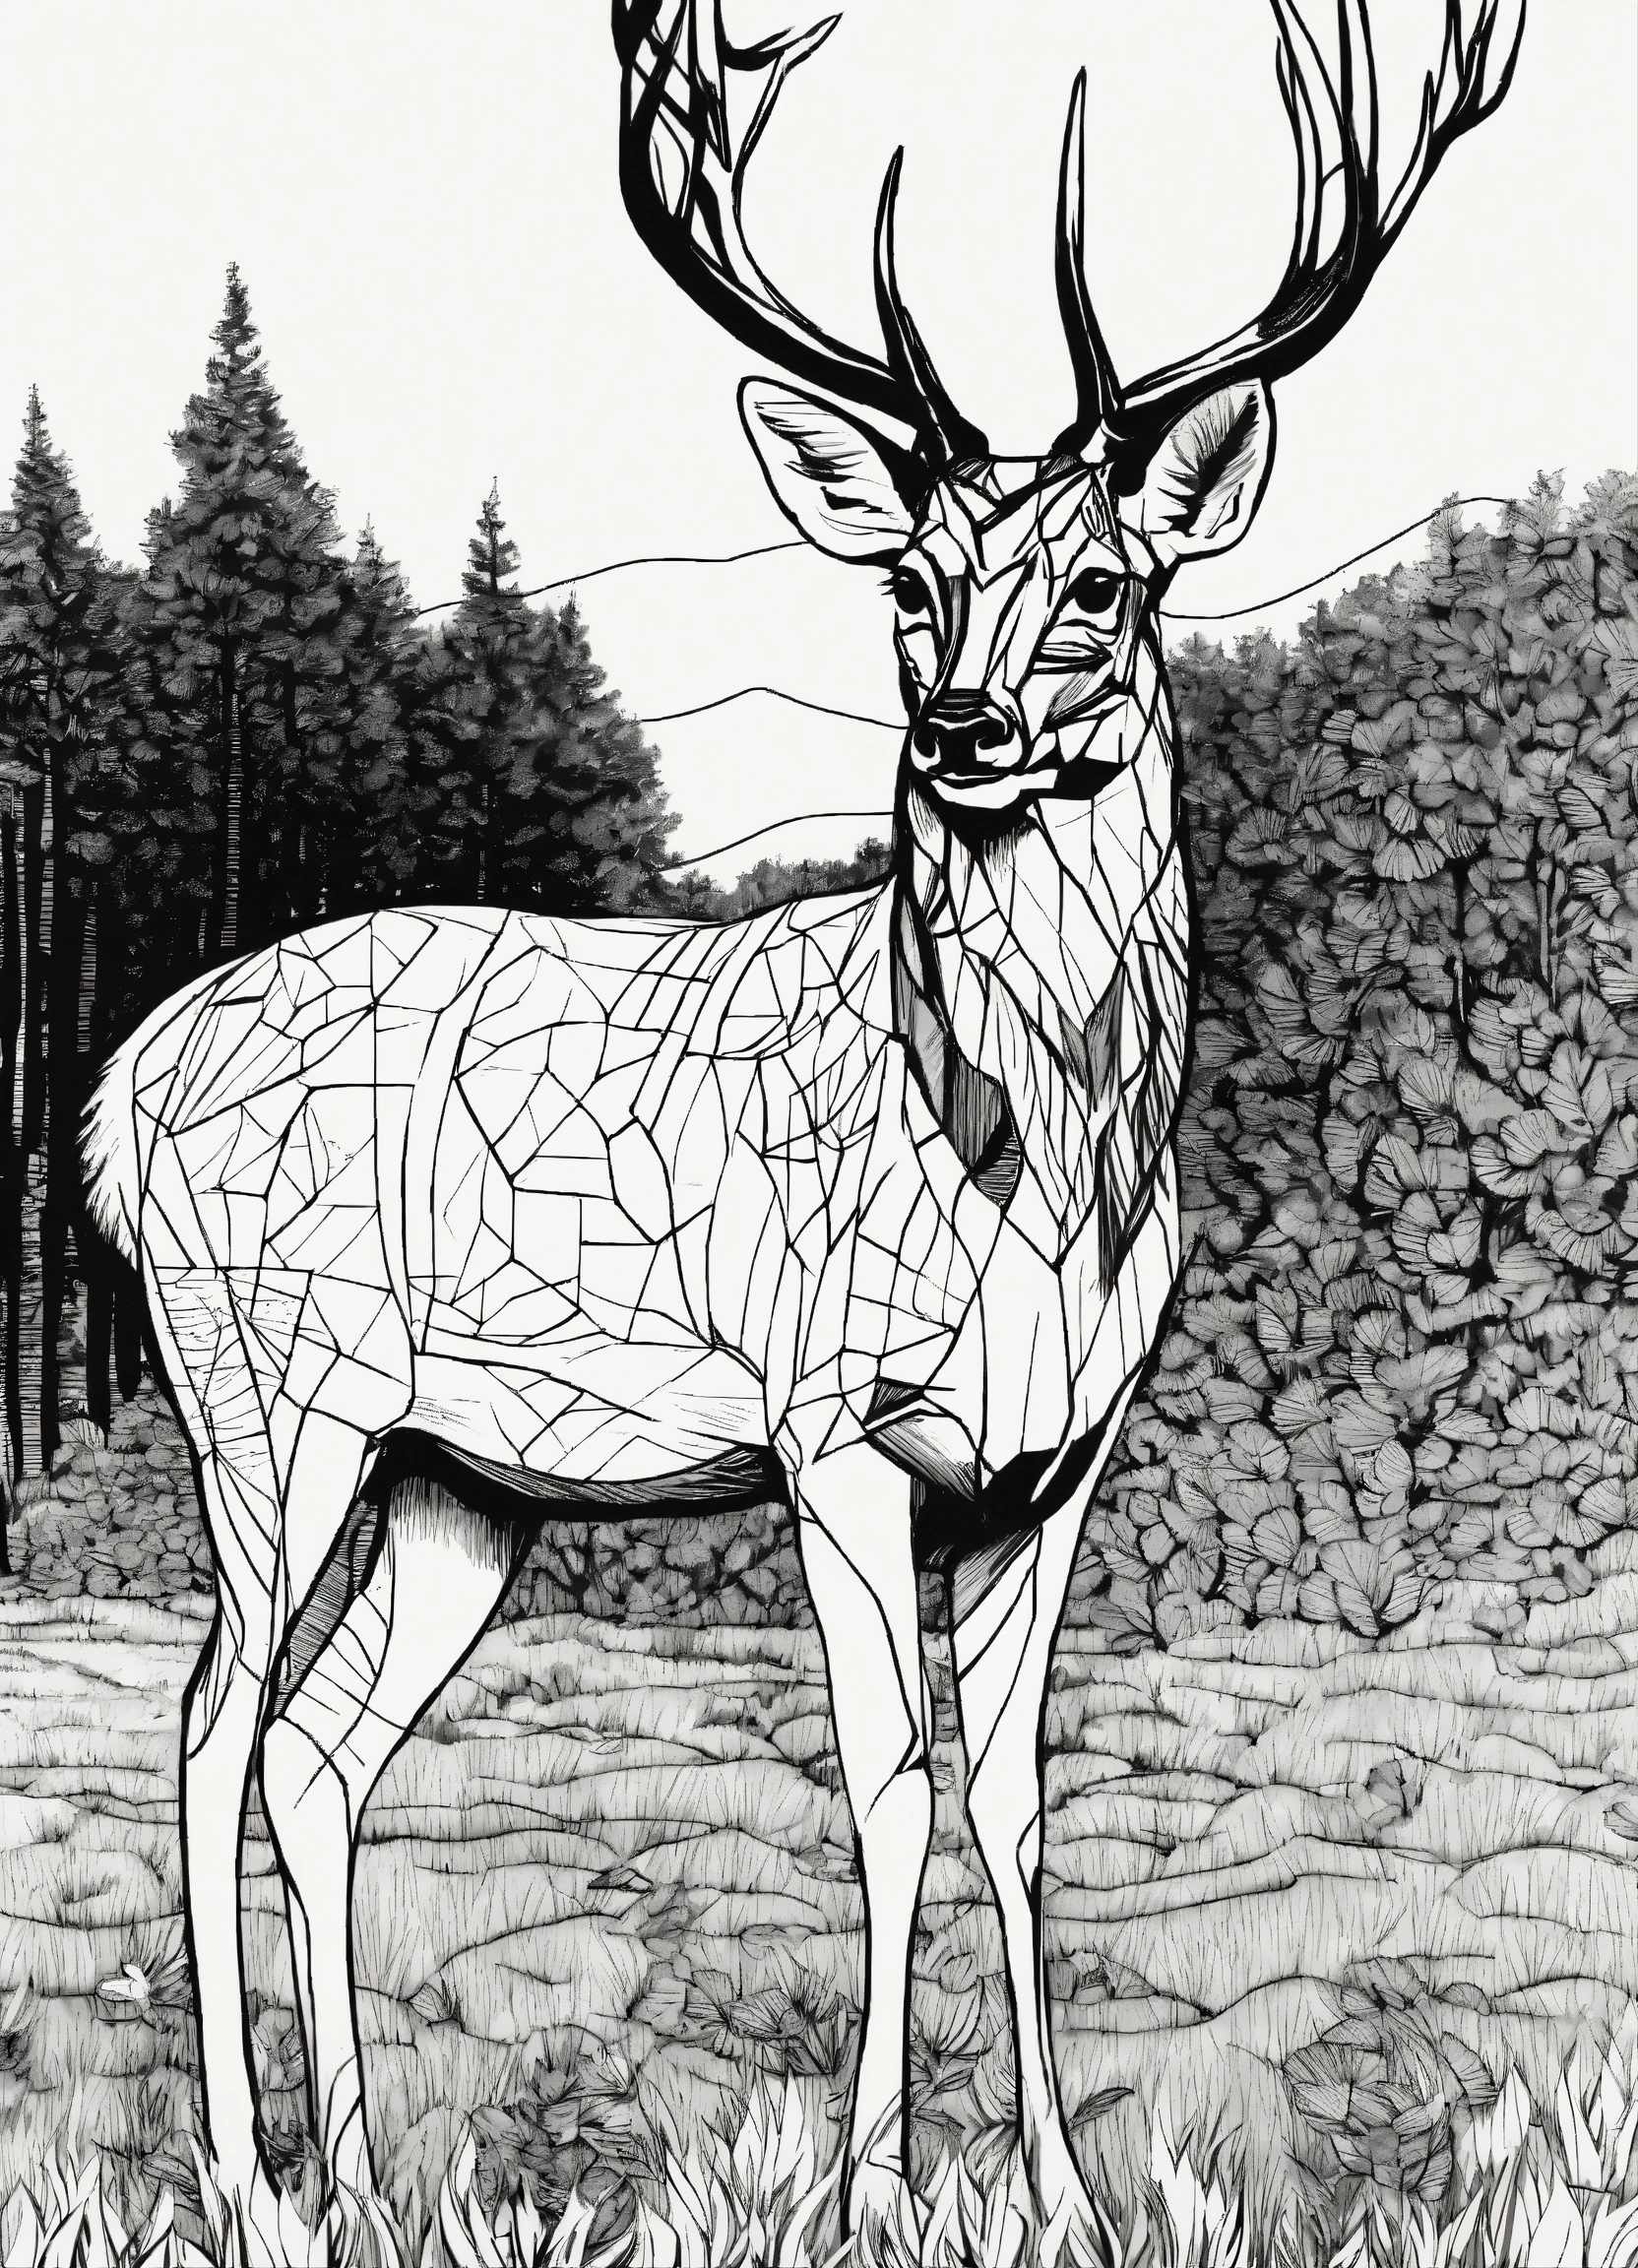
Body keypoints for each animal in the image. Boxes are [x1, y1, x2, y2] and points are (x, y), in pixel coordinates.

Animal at [80, 1, 1522, 2257]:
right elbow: (888, 1783)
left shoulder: (1054, 1462)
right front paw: (868, 2182)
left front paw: (1061, 2193)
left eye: (1102, 580)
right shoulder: (832, 1417)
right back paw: (245, 2179)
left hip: (456, 1478)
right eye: (913, 581)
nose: (961, 727)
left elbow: (1014, 1798)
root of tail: (113, 1095)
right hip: (265, 1387)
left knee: (321, 1743)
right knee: (216, 1721)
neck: (1038, 1186)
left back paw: (375, 2178)